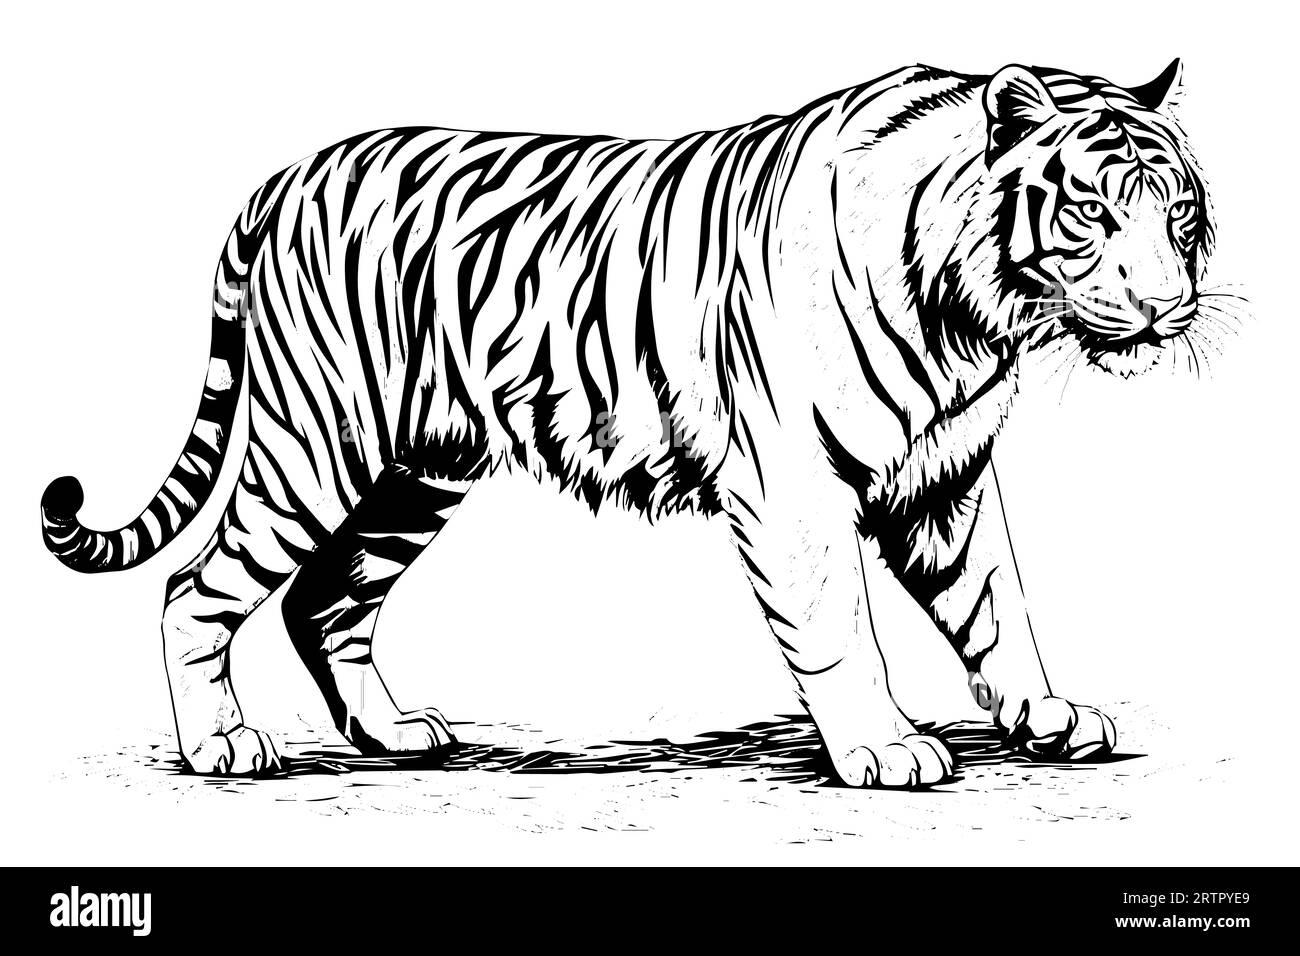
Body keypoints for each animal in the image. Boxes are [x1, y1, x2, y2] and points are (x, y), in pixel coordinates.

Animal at [41, 59, 1219, 788]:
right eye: (1091, 212)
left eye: (1180, 214)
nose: (1170, 305)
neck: (974, 316)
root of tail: (278, 179)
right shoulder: (794, 487)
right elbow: (842, 629)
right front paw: (886, 748)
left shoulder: (945, 478)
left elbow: (998, 605)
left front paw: (1049, 715)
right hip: (313, 445)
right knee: (196, 586)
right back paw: (222, 745)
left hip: (417, 469)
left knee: (326, 598)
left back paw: (396, 733)